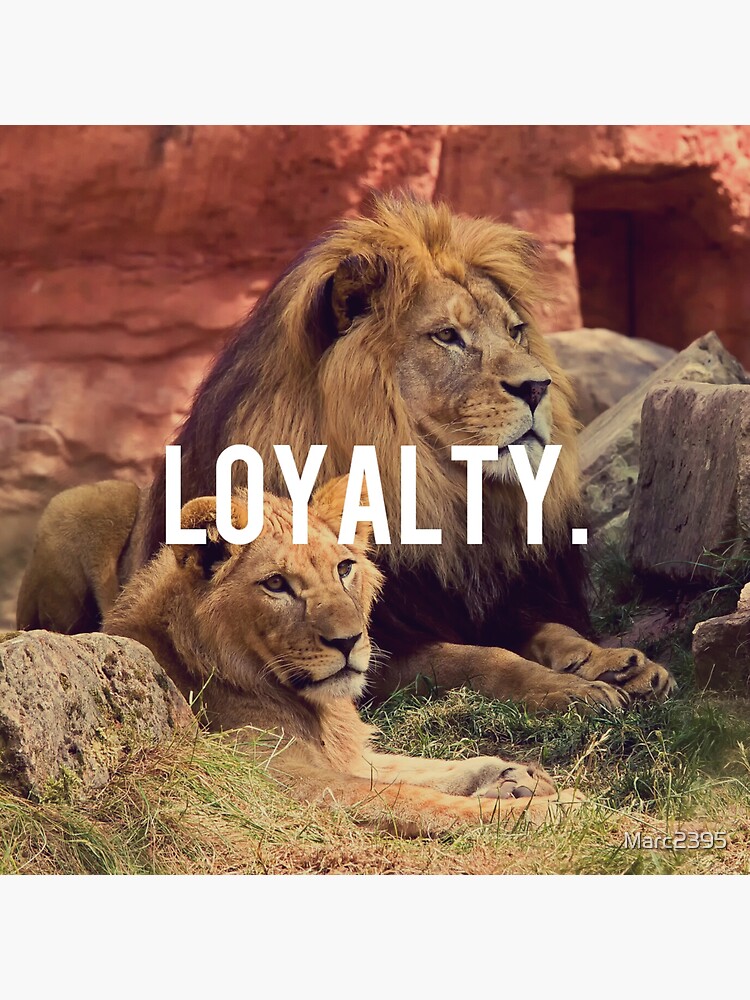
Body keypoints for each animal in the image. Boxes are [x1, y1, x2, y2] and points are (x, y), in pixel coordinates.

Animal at [103, 478, 579, 835]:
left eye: (344, 568)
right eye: (276, 584)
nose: (349, 641)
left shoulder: (346, 756)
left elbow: (419, 769)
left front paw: (513, 776)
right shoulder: (274, 784)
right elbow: (411, 798)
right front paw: (554, 809)